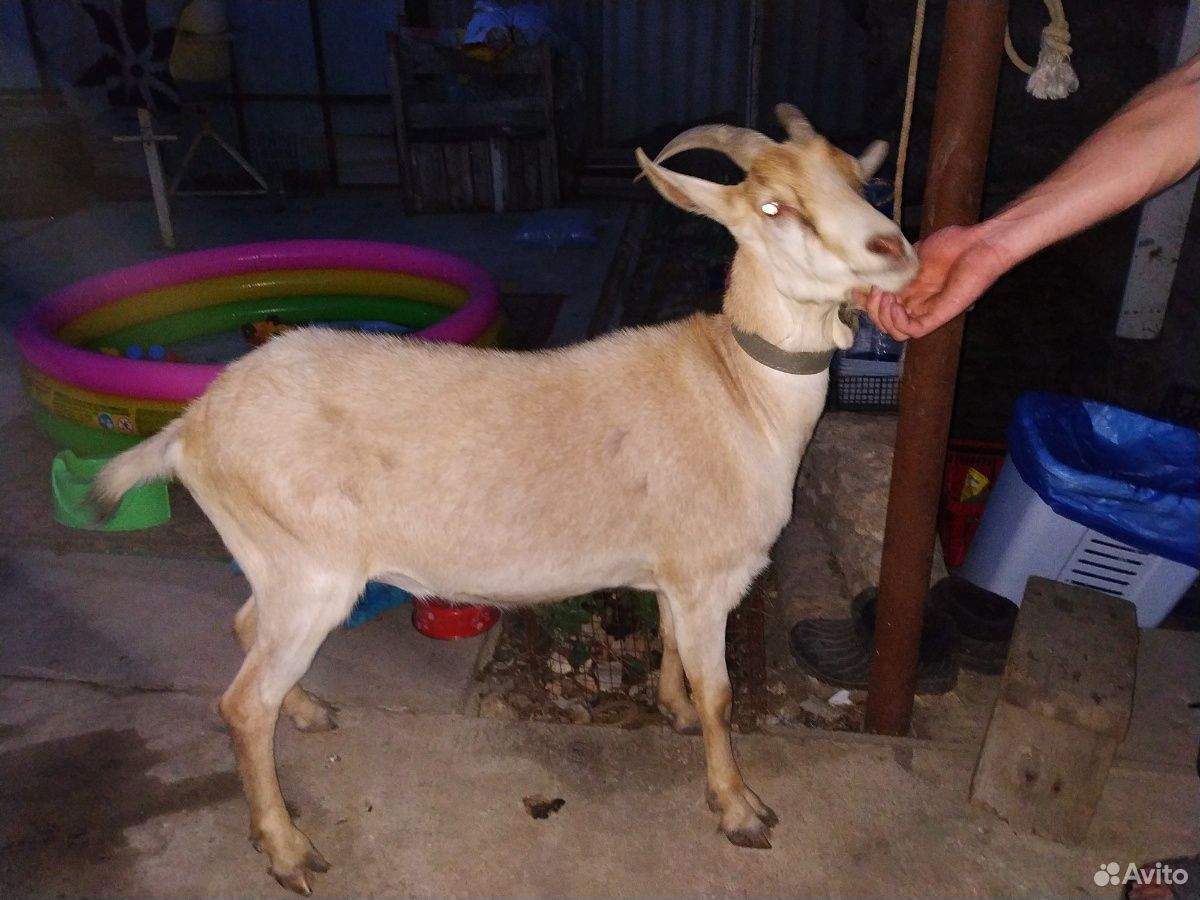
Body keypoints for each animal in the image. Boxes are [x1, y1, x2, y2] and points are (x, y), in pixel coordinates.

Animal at [94, 104, 916, 895]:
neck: (738, 392)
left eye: (858, 179)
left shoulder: (674, 572)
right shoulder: (710, 573)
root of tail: (192, 426)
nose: (893, 249)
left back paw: (307, 710)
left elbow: (671, 645)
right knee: (241, 705)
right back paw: (288, 850)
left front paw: (673, 710)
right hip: (312, 574)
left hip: (277, 563)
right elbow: (721, 696)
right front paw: (739, 808)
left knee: (245, 634)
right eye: (775, 206)